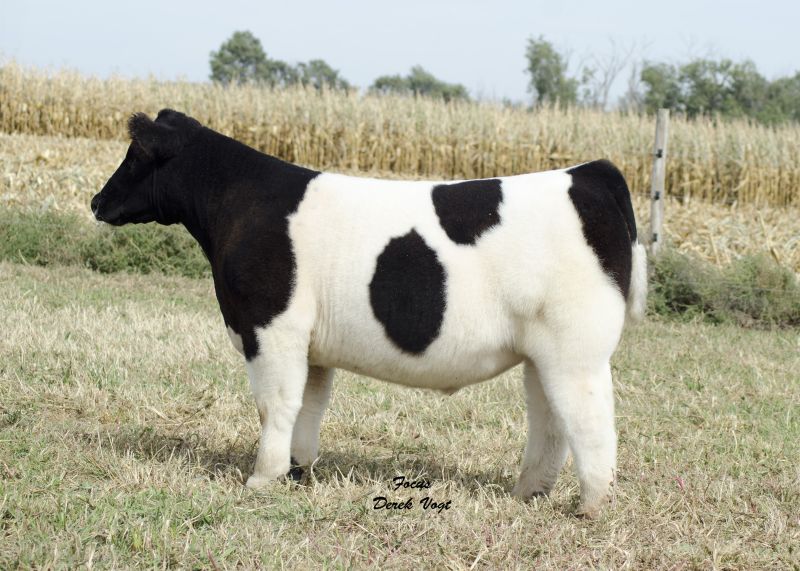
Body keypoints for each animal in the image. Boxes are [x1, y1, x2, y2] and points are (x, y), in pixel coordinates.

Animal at [91, 109, 647, 518]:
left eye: (136, 155)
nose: (96, 201)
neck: (237, 205)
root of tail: (588, 173)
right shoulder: (311, 345)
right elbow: (309, 406)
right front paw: (298, 472)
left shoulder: (271, 328)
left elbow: (275, 405)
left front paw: (261, 479)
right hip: (542, 356)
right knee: (549, 422)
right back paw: (527, 494)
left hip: (577, 354)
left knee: (591, 422)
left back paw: (591, 508)